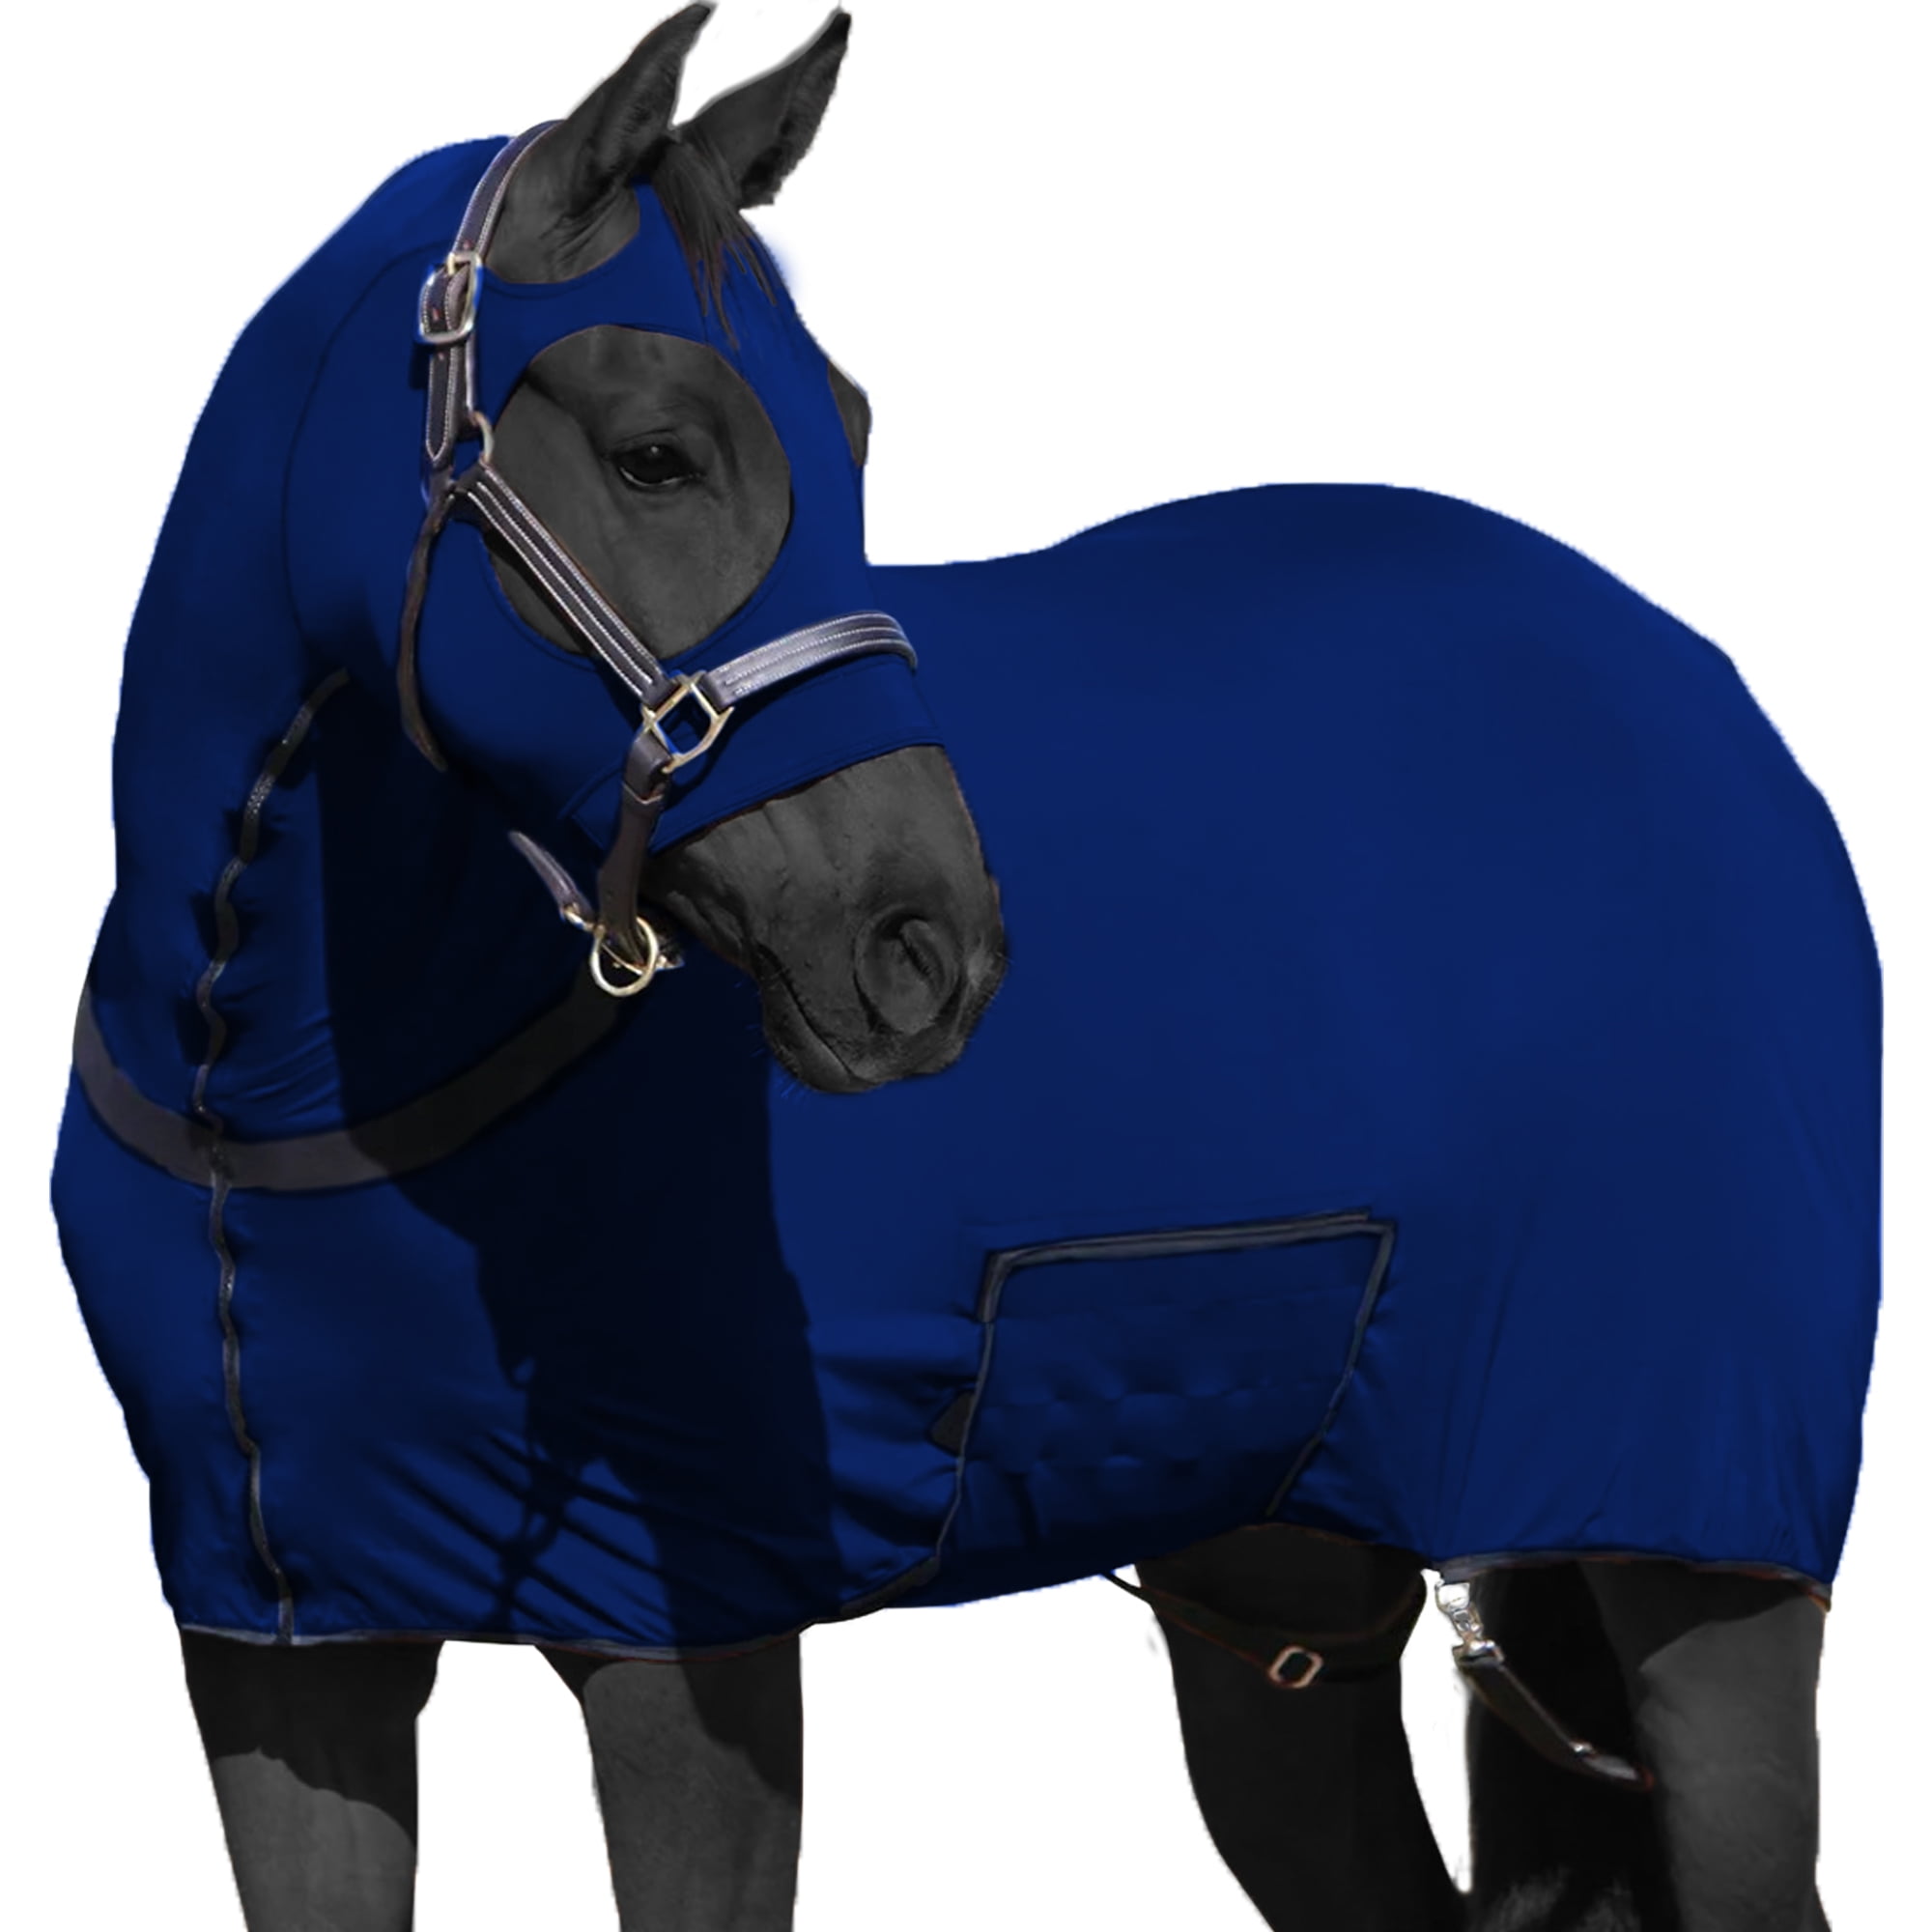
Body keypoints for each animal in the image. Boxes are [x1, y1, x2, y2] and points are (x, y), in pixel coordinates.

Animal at [50, 8, 1875, 1931]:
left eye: (851, 430)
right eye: (655, 453)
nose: (927, 948)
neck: (268, 1088)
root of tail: (1705, 695)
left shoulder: (686, 1636)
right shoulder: (284, 1650)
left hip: (1689, 1534)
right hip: (1281, 1582)